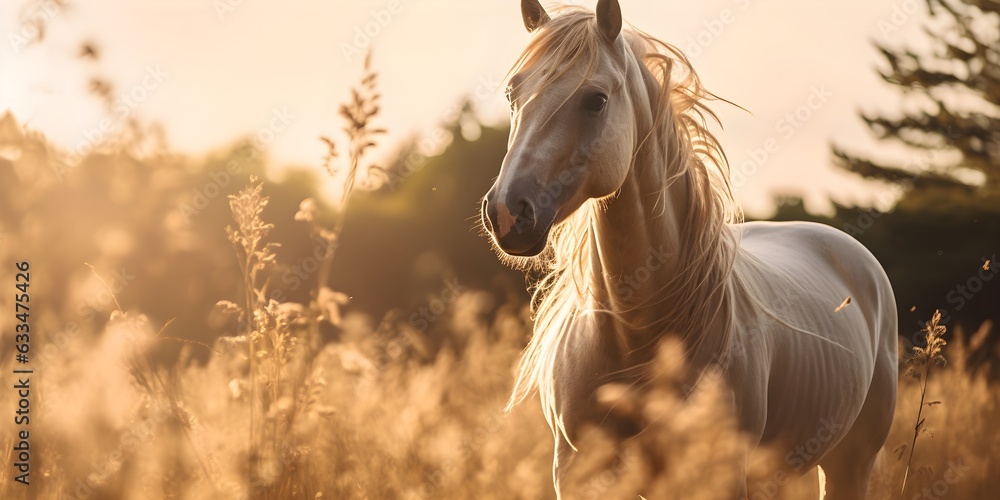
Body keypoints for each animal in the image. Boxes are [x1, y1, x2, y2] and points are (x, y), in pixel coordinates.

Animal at [479, 1, 898, 498]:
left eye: (596, 99)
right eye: (513, 94)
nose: (507, 211)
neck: (635, 336)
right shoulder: (578, 473)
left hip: (849, 464)